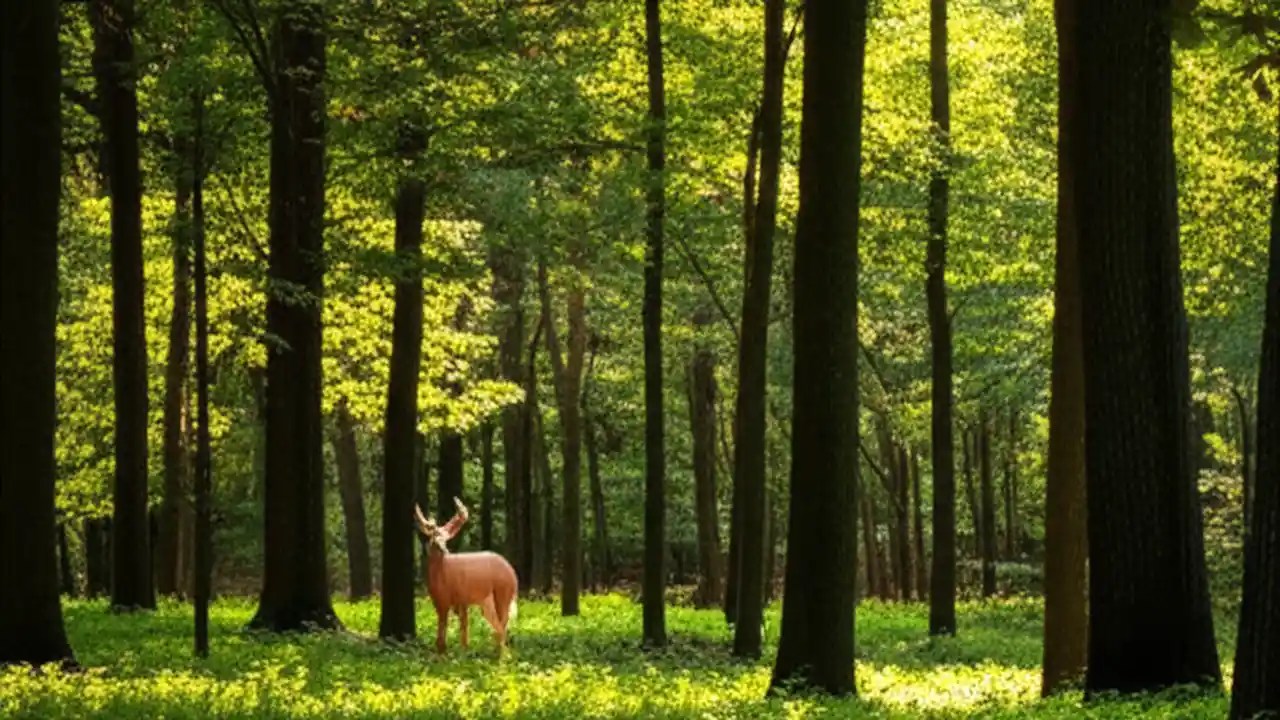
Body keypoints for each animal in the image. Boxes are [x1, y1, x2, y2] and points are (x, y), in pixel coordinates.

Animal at [414, 497, 519, 654]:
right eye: (434, 538)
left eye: (446, 539)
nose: (444, 550)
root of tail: (513, 573)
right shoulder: (449, 601)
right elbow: (462, 630)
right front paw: (462, 652)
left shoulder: (450, 599)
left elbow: (447, 629)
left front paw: (443, 653)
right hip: (490, 602)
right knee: (500, 626)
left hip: (503, 593)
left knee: (502, 625)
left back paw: (503, 655)